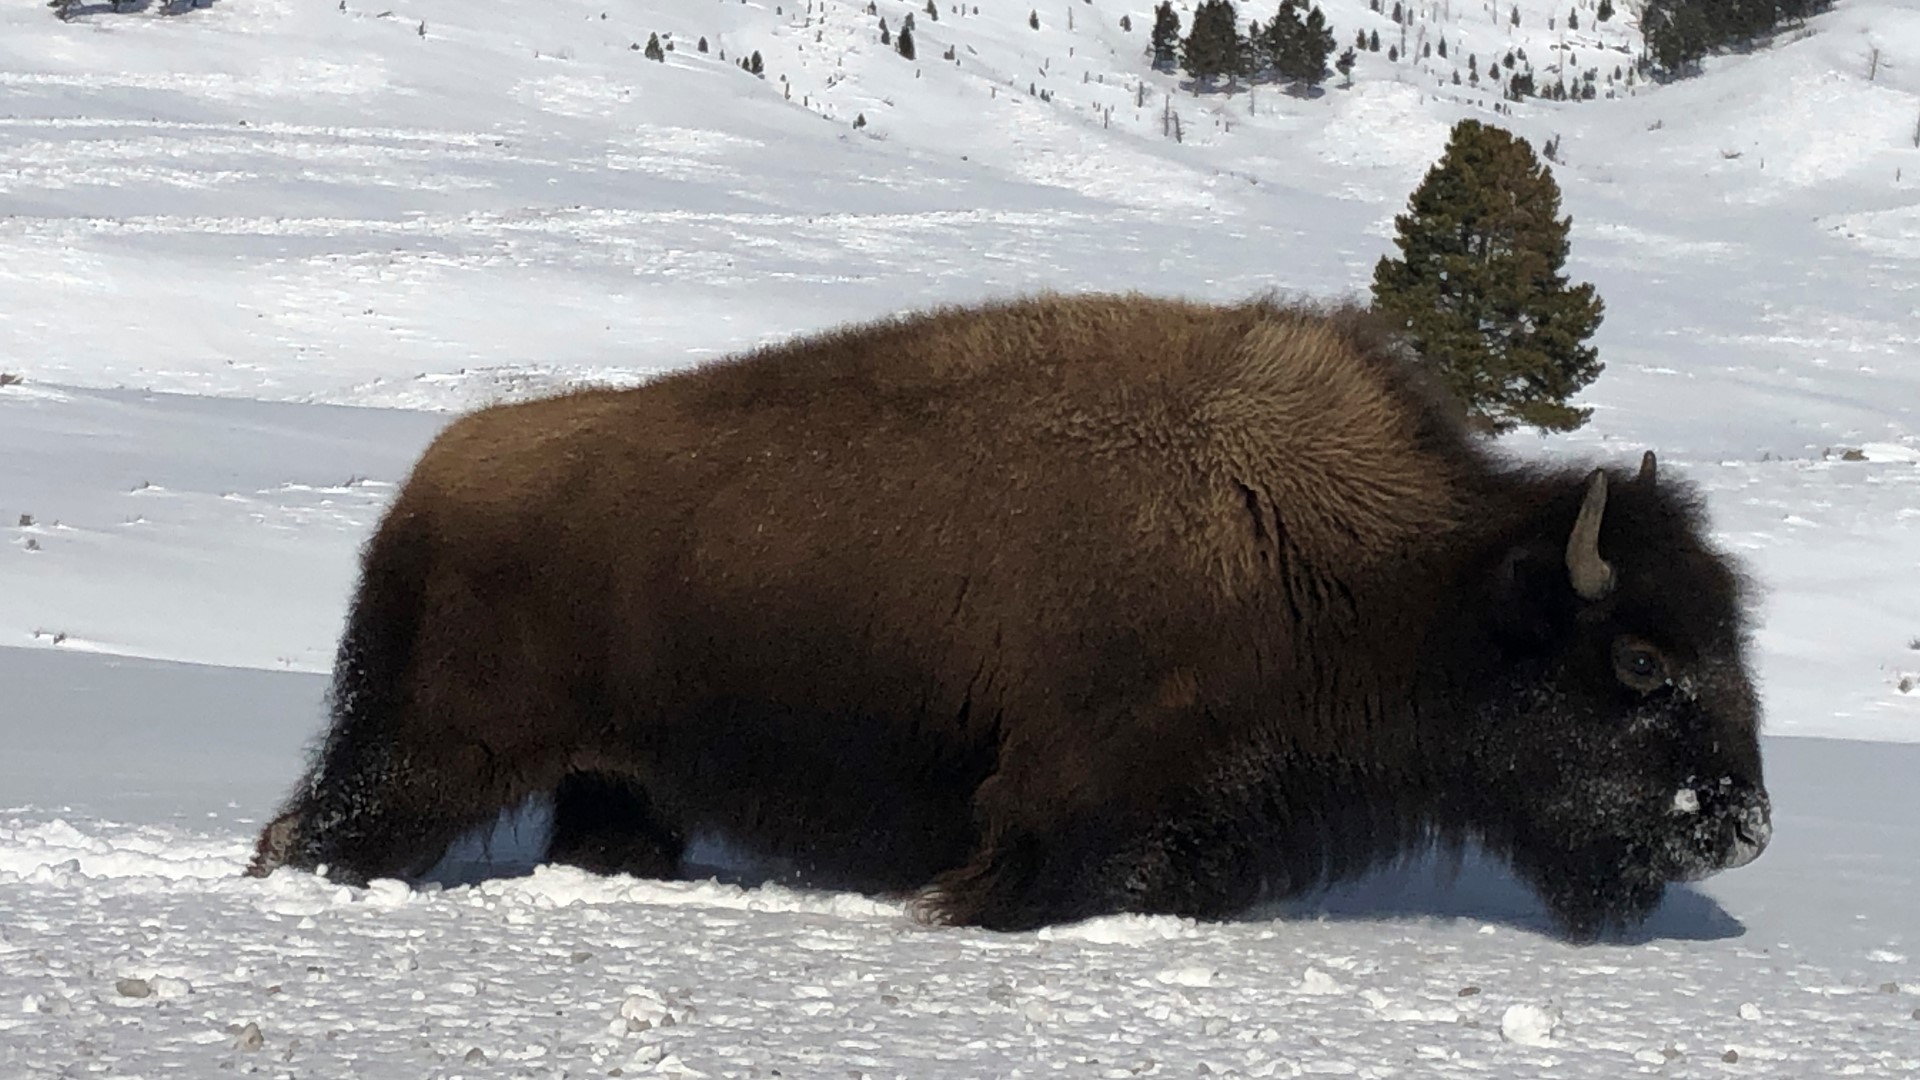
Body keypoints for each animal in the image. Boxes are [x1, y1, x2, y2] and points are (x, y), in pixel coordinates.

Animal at [249, 293, 1770, 938]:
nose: (1743, 829)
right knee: (319, 830)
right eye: (1642, 662)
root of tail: (438, 474)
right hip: (429, 754)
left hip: (621, 783)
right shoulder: (1071, 796)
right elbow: (1020, 882)